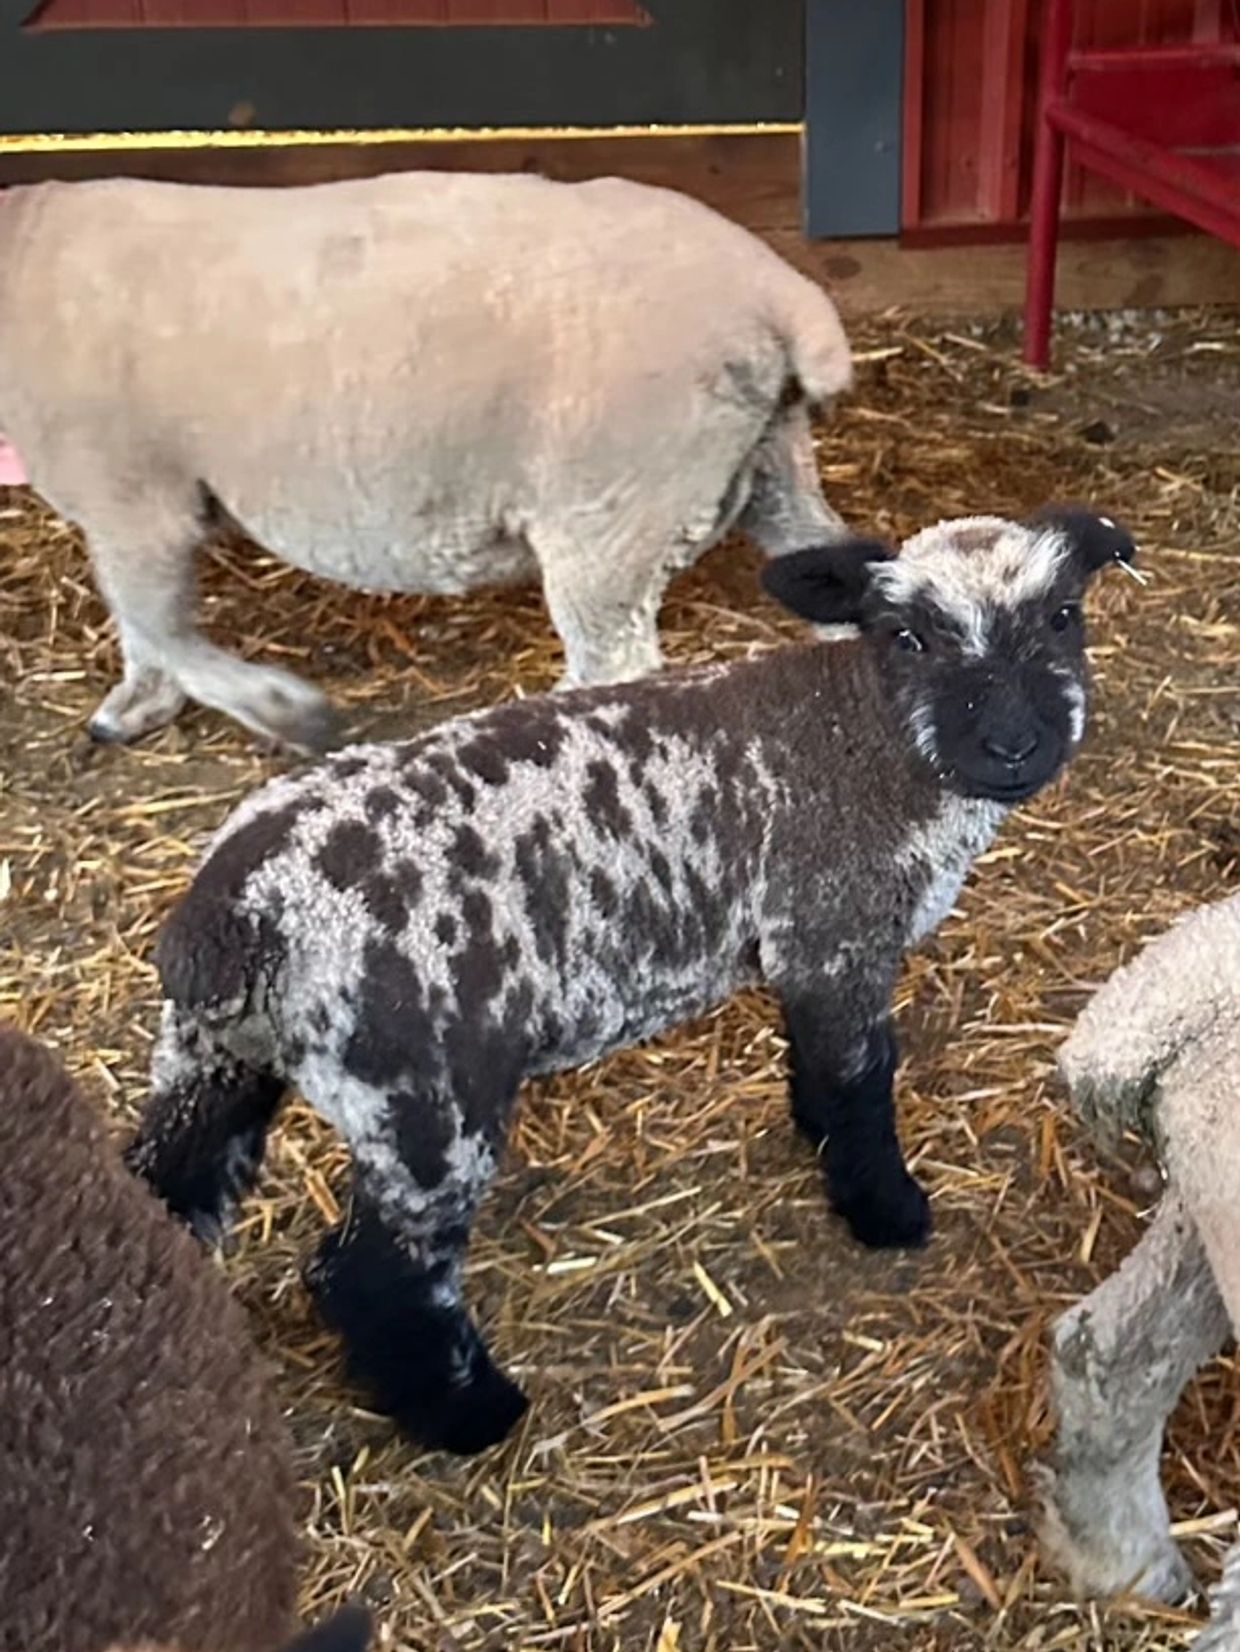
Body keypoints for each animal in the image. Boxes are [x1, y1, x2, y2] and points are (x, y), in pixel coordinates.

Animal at [0, 170, 852, 752]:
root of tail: (777, 293)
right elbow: (145, 626)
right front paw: (143, 701)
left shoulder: (132, 494)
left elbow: (152, 619)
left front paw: (288, 713)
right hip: (763, 458)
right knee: (828, 557)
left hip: (614, 498)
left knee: (613, 656)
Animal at [125, 506, 1138, 1457]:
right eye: (907, 636)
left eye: (1063, 616)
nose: (1014, 743)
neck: (870, 736)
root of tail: (234, 914)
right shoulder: (833, 933)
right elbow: (860, 1082)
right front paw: (884, 1208)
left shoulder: (804, 953)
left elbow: (818, 1066)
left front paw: (814, 1134)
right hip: (422, 1100)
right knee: (372, 1275)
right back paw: (471, 1415)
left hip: (211, 1064)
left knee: (164, 1190)